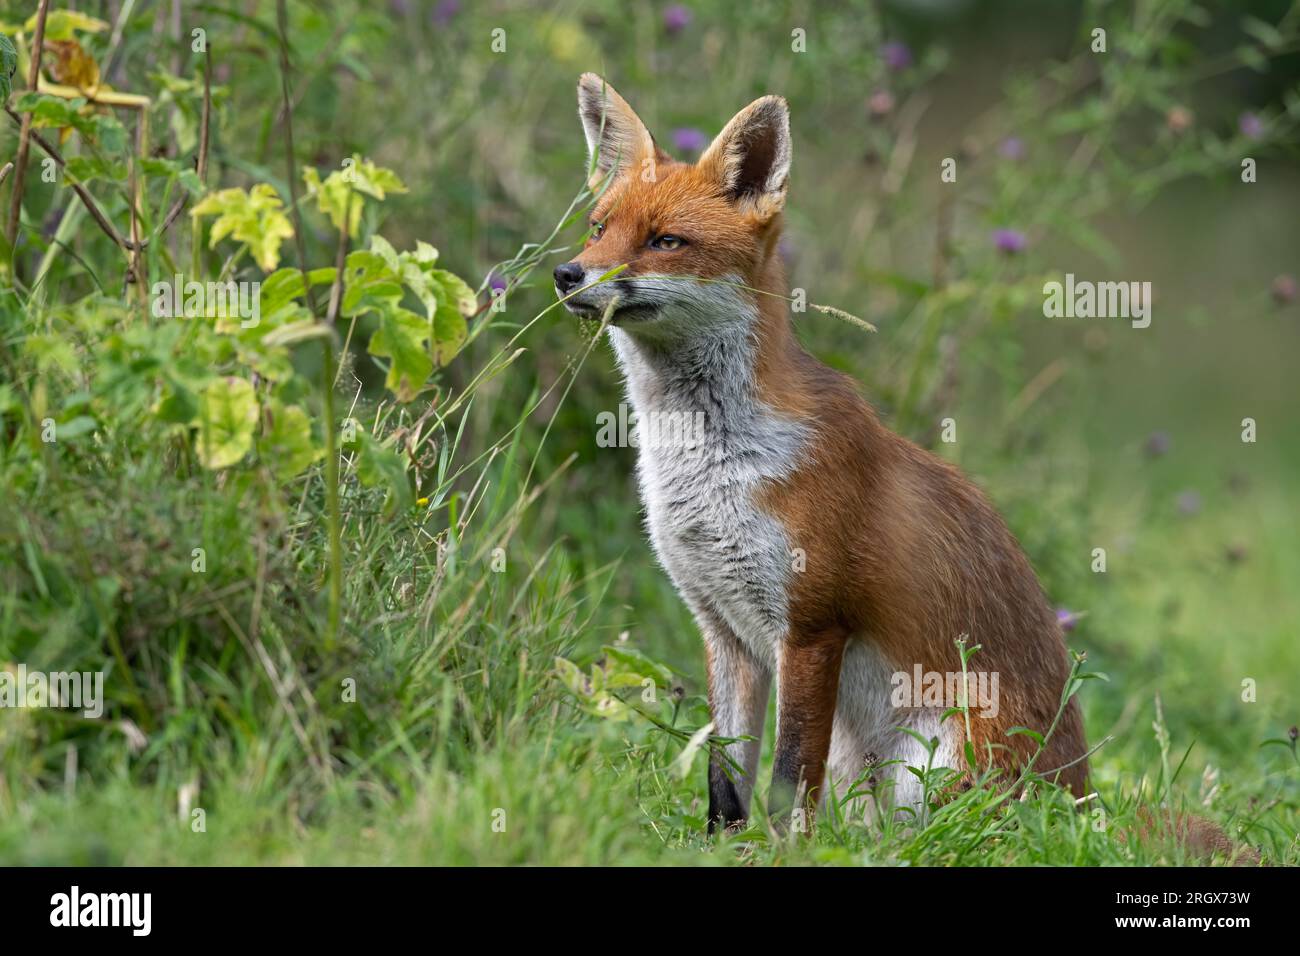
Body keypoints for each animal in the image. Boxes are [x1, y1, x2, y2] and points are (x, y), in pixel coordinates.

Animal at [554, 73, 1253, 859]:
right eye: (597, 227)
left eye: (665, 241)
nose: (566, 273)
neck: (712, 462)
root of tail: (1081, 803)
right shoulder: (724, 630)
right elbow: (726, 777)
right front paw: (721, 850)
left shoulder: (812, 629)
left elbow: (788, 775)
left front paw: (785, 853)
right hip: (866, 763)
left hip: (940, 764)